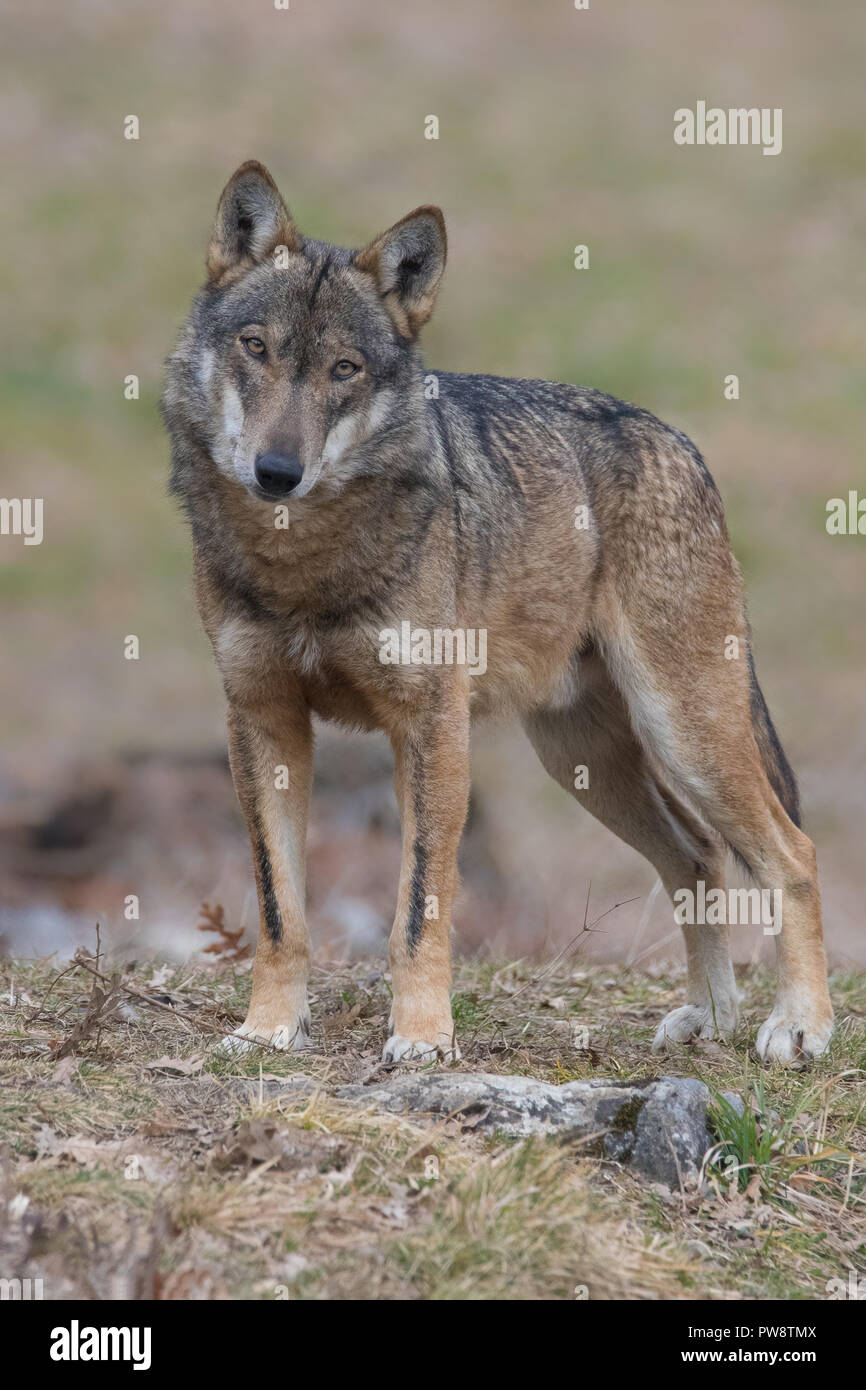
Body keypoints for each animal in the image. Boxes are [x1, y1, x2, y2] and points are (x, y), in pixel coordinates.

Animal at [161, 161, 833, 1065]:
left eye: (344, 369)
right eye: (256, 347)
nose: (277, 471)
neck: (305, 562)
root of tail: (683, 445)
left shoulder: (431, 724)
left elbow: (418, 912)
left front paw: (422, 1039)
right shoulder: (261, 720)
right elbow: (278, 910)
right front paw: (268, 1030)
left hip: (683, 734)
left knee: (792, 855)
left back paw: (799, 1026)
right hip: (584, 761)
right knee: (698, 860)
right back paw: (710, 1018)